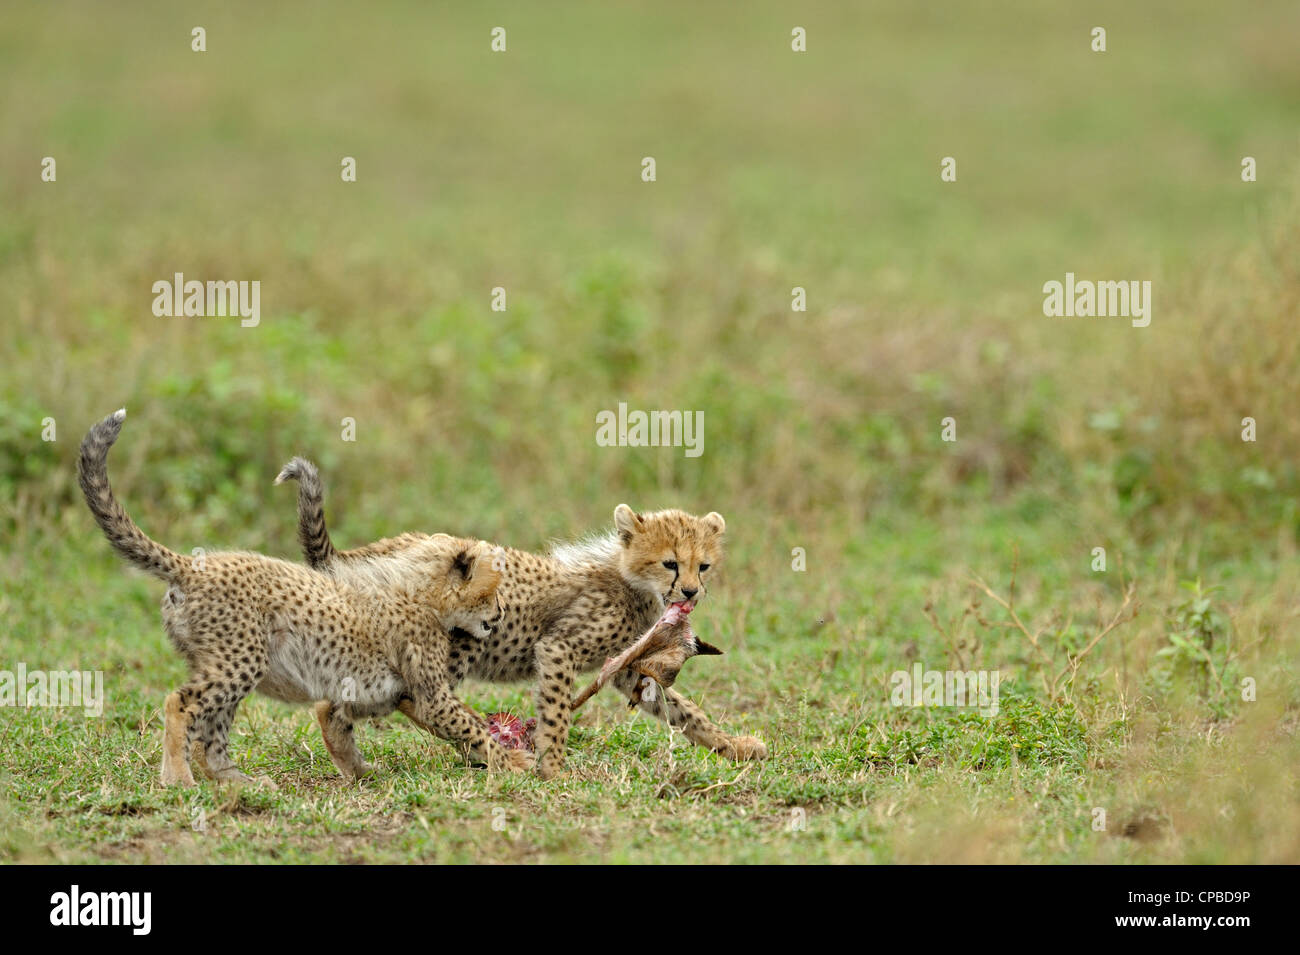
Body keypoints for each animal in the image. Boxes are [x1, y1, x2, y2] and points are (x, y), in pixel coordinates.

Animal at [77, 410, 529, 788]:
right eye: (493, 589)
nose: (501, 612)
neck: (421, 590)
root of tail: (193, 565)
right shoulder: (427, 694)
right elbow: (467, 723)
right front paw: (511, 761)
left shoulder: (376, 689)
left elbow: (340, 724)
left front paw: (359, 772)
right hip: (239, 659)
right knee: (180, 704)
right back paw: (178, 778)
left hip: (228, 663)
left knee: (212, 729)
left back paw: (236, 781)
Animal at [276, 456, 769, 778]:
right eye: (670, 563)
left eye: (702, 566)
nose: (690, 591)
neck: (633, 584)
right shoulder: (559, 647)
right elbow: (556, 710)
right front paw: (553, 768)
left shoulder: (625, 665)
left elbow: (683, 710)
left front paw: (734, 746)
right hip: (449, 646)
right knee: (405, 701)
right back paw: (490, 751)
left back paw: (357, 766)